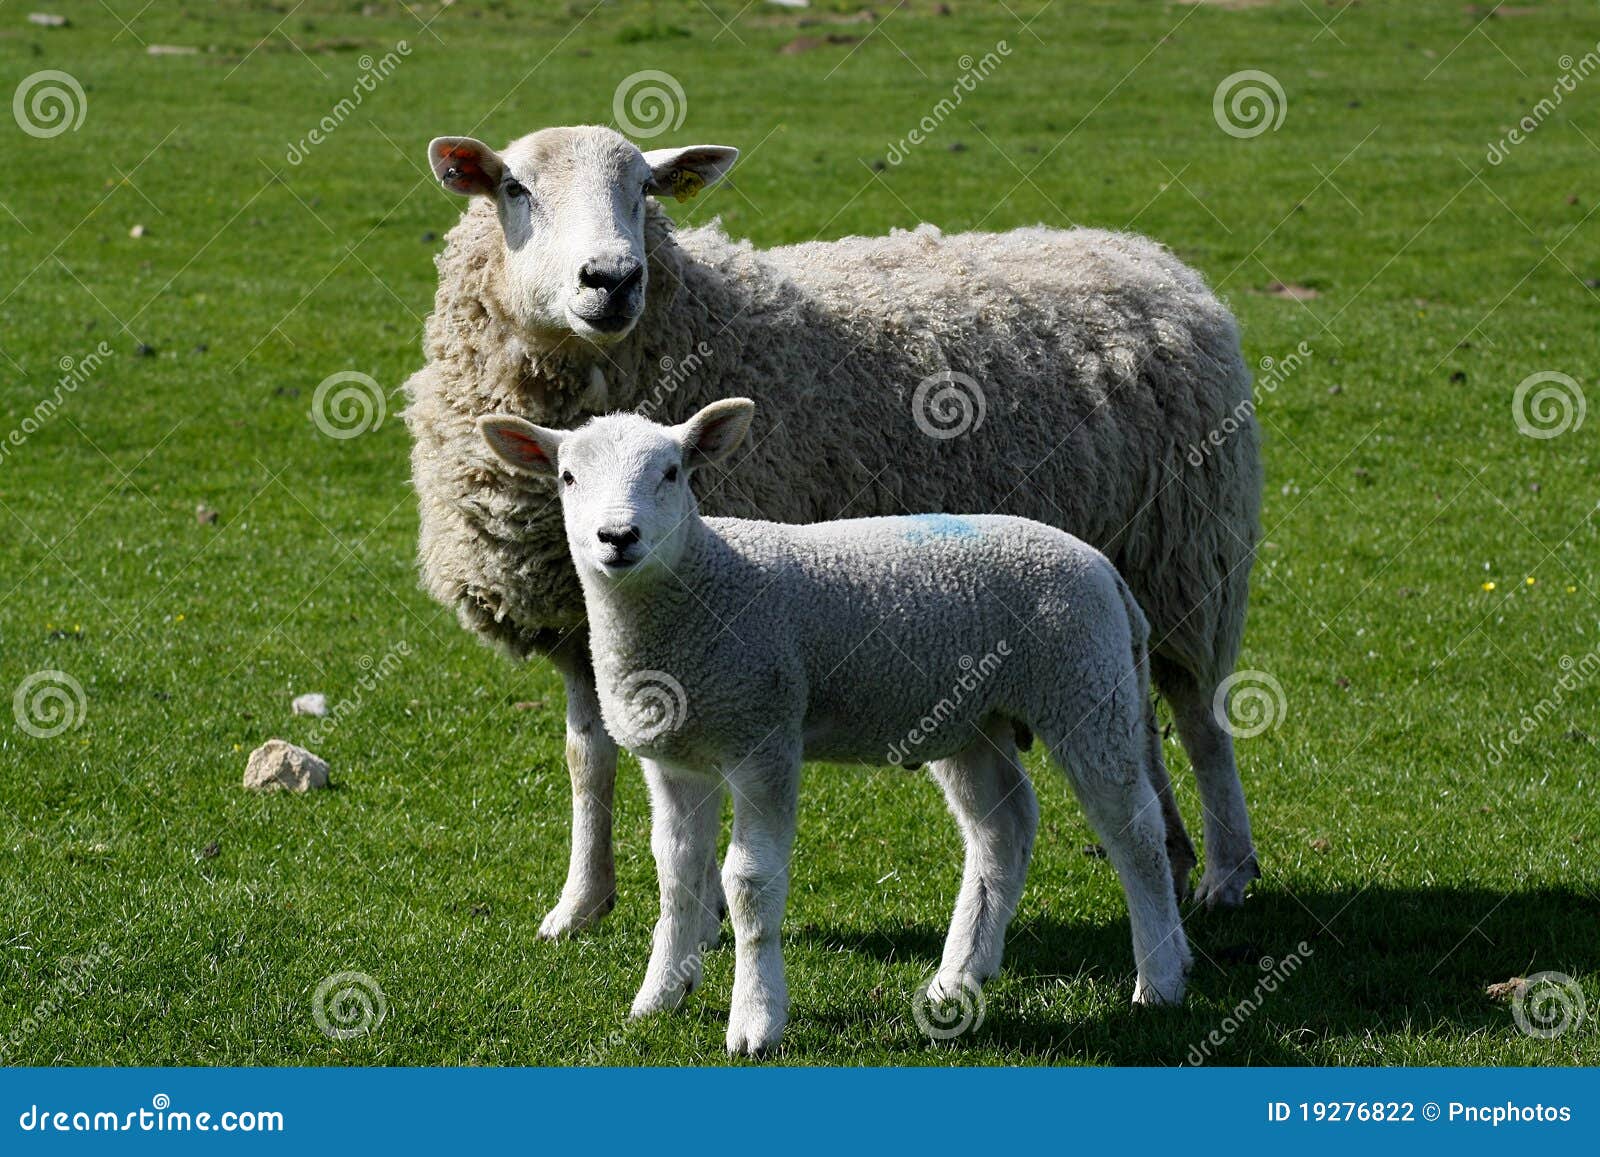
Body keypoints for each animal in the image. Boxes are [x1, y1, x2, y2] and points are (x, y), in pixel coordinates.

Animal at [403, 124, 1263, 940]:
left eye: (645, 187)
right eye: (515, 188)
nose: (612, 280)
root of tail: (1142, 254)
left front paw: (702, 917)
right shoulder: (581, 625)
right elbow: (588, 757)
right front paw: (580, 903)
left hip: (1190, 555)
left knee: (1200, 716)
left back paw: (1227, 871)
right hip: (1116, 587)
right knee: (1137, 724)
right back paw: (1175, 854)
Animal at [478, 398, 1193, 1055]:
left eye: (673, 472)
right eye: (568, 476)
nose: (617, 537)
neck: (703, 585)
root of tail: (1103, 568)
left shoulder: (763, 738)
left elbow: (748, 884)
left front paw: (755, 1022)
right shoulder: (676, 759)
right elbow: (677, 873)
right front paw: (659, 997)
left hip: (1086, 687)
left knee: (1136, 833)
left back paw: (1158, 982)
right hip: (973, 719)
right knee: (1002, 831)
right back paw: (958, 979)